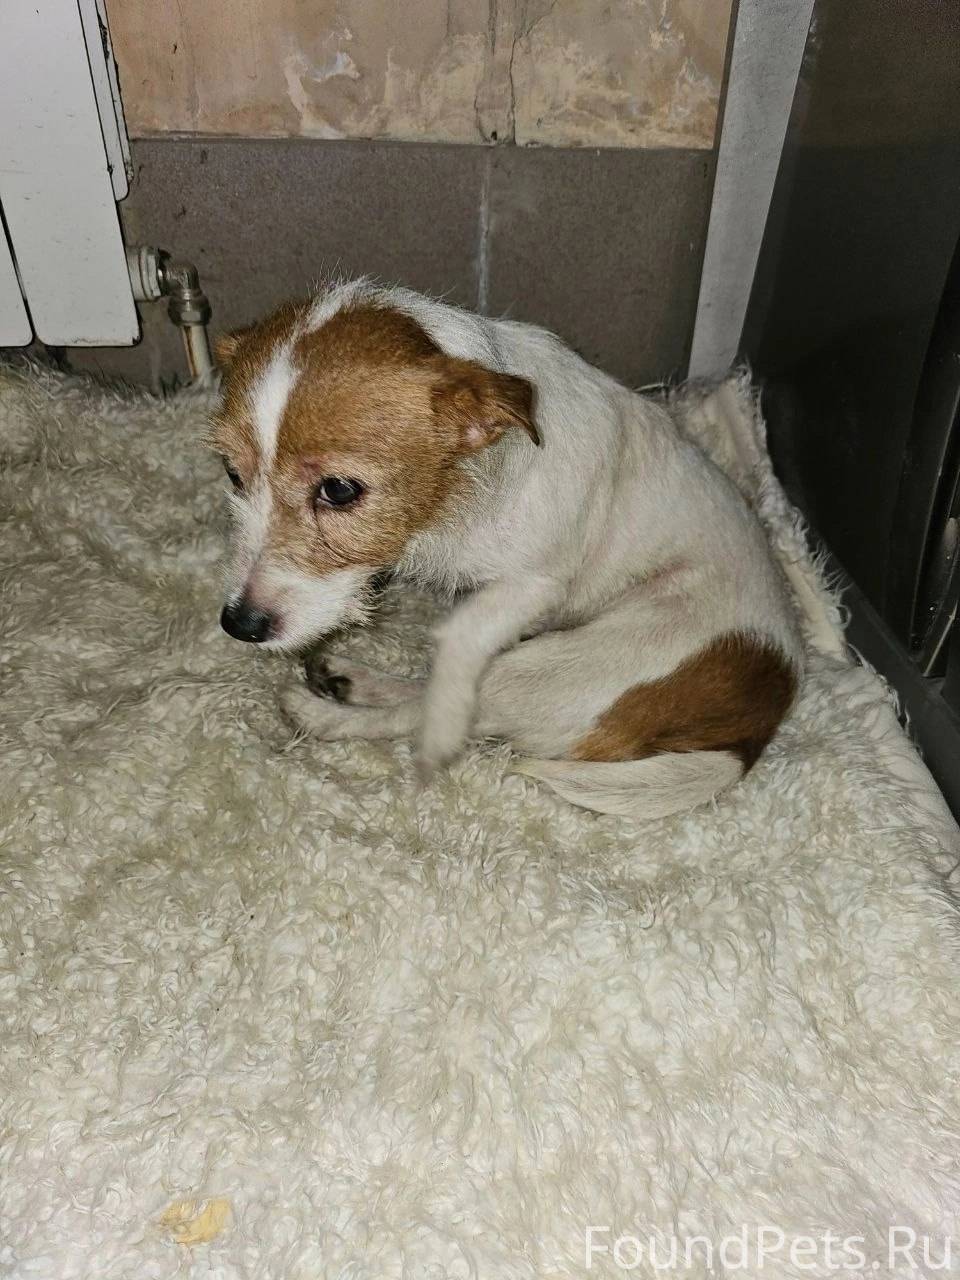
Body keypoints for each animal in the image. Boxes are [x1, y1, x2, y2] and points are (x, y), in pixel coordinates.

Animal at [208, 278, 801, 819]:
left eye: (338, 489)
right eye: (232, 473)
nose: (239, 625)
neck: (462, 487)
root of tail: (753, 729)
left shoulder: (531, 587)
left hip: (553, 666)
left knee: (436, 713)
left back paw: (323, 714)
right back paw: (349, 677)